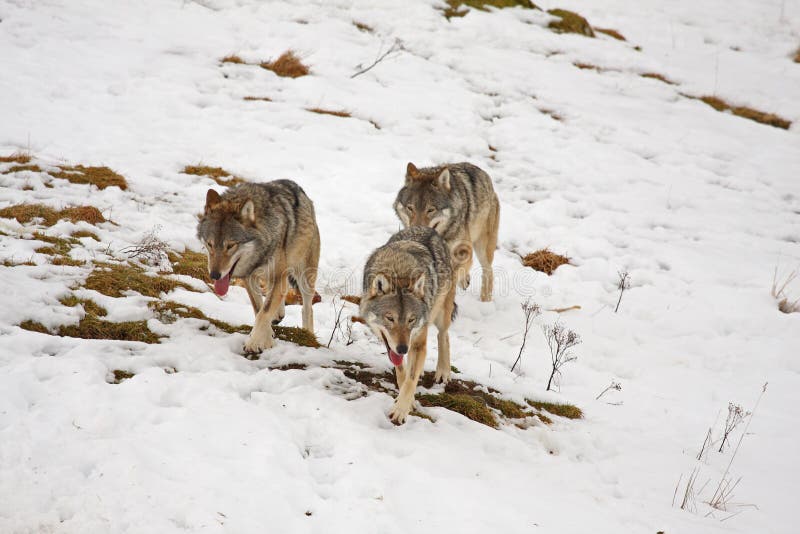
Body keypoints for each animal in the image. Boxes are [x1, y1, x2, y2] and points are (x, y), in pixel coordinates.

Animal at [197, 180, 320, 353]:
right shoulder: (249, 277)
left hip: (304, 275)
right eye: (210, 244)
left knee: (307, 307)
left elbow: (264, 311)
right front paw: (267, 338)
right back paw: (278, 315)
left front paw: (254, 343)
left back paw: (308, 333)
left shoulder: (279, 274)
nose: (214, 275)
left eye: (230, 245)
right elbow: (258, 308)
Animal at [360, 226, 456, 424]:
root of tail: (429, 228)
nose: (403, 348)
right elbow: (402, 373)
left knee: (444, 336)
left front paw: (401, 410)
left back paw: (443, 371)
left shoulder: (418, 343)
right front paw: (407, 402)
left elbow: (411, 379)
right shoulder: (393, 348)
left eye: (411, 320)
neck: (399, 272)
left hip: (441, 315)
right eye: (390, 318)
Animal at [394, 162, 500, 302]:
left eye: (430, 210)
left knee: (488, 271)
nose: (416, 230)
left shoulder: (466, 251)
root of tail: (485, 175)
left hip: (482, 248)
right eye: (410, 208)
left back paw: (485, 300)